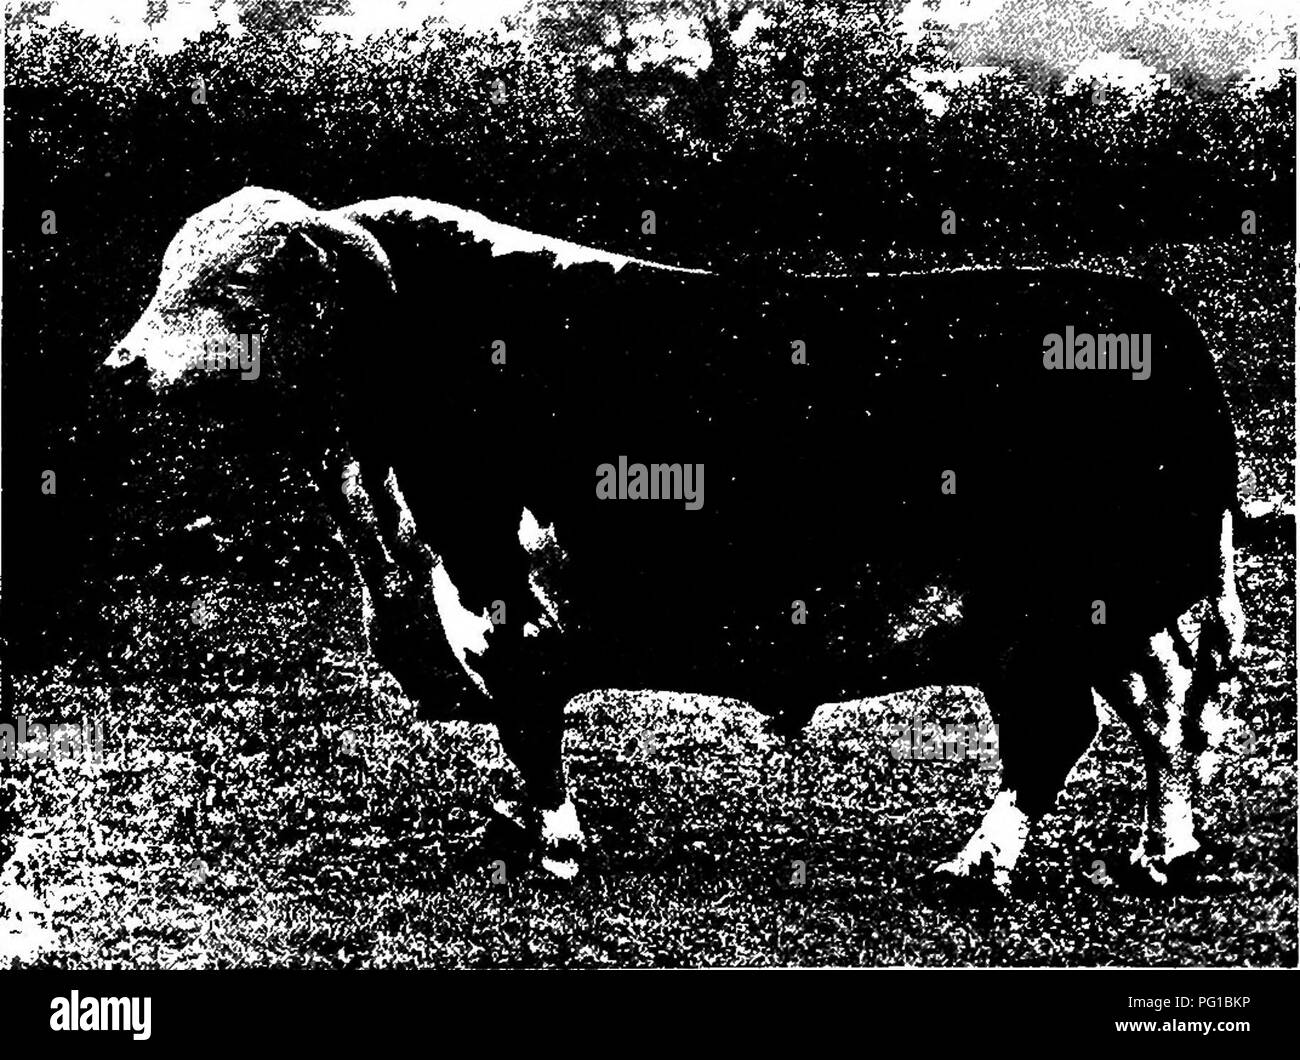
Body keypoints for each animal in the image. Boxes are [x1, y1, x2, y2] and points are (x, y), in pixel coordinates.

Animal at [106, 186, 1246, 890]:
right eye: (167, 269)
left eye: (239, 283)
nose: (119, 365)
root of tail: (1152, 314)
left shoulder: (494, 594)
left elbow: (529, 725)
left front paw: (555, 848)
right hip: (1110, 607)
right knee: (1162, 709)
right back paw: (1162, 854)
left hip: (1048, 609)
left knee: (1065, 726)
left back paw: (978, 868)